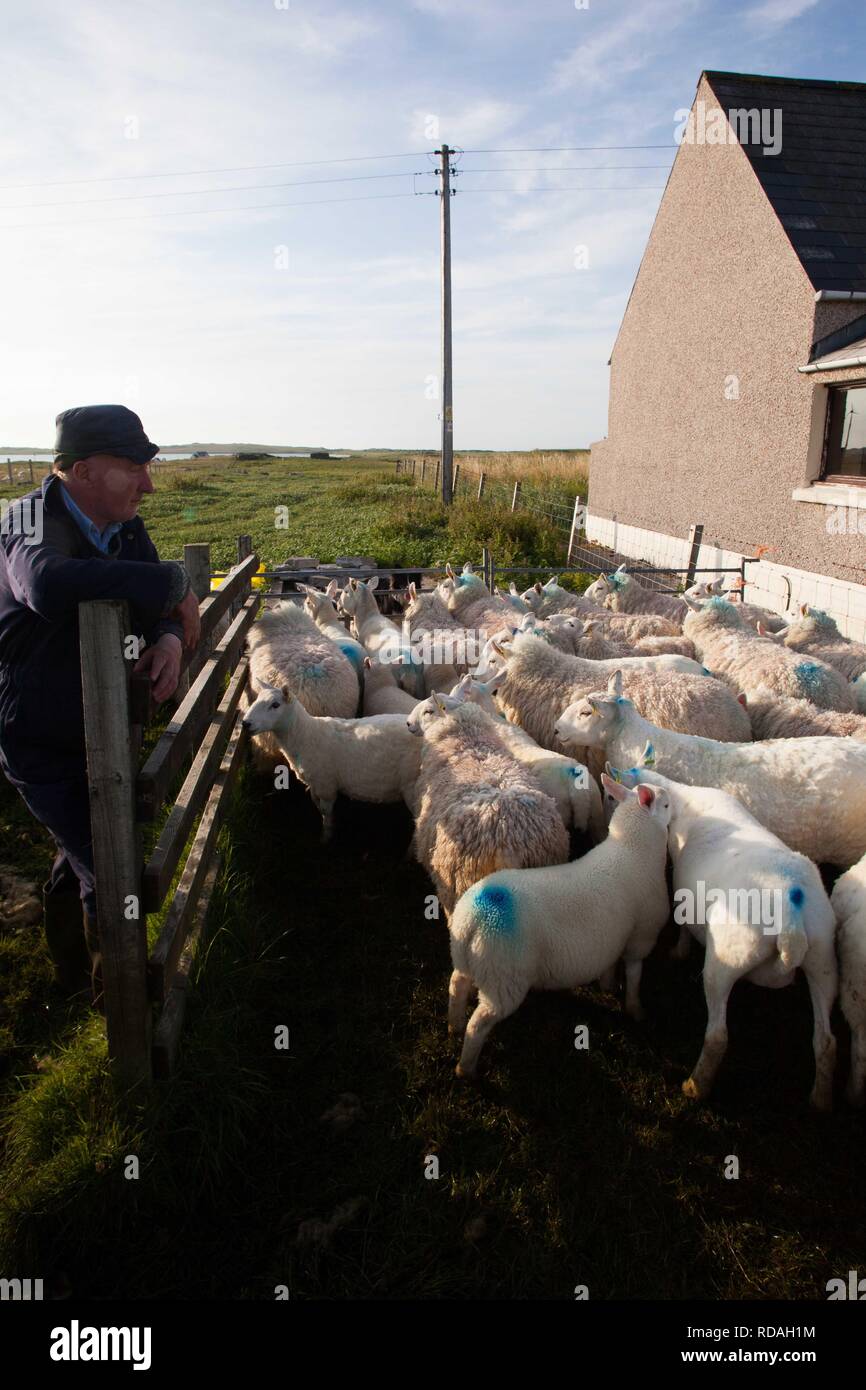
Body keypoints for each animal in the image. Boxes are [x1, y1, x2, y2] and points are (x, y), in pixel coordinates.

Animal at [241, 684, 421, 839]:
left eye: (275, 705)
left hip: (412, 786)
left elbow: (326, 814)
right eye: (256, 699)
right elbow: (318, 807)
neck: (305, 735)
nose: (245, 723)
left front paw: (325, 839)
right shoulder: (314, 784)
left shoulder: (326, 786)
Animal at [446, 775, 672, 1077]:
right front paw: (636, 1010)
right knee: (479, 1023)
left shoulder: (615, 935)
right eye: (667, 804)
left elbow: (611, 964)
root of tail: (474, 917)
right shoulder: (642, 934)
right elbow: (635, 974)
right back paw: (465, 1067)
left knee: (456, 985)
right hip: (504, 979)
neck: (632, 850)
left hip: (467, 961)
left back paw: (453, 1025)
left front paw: (608, 986)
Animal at [605, 764, 838, 1109]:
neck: (685, 797)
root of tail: (791, 917)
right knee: (825, 1041)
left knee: (717, 1036)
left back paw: (695, 1087)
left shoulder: (682, 889)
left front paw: (679, 951)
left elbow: (685, 924)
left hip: (726, 958)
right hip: (823, 957)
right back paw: (821, 1100)